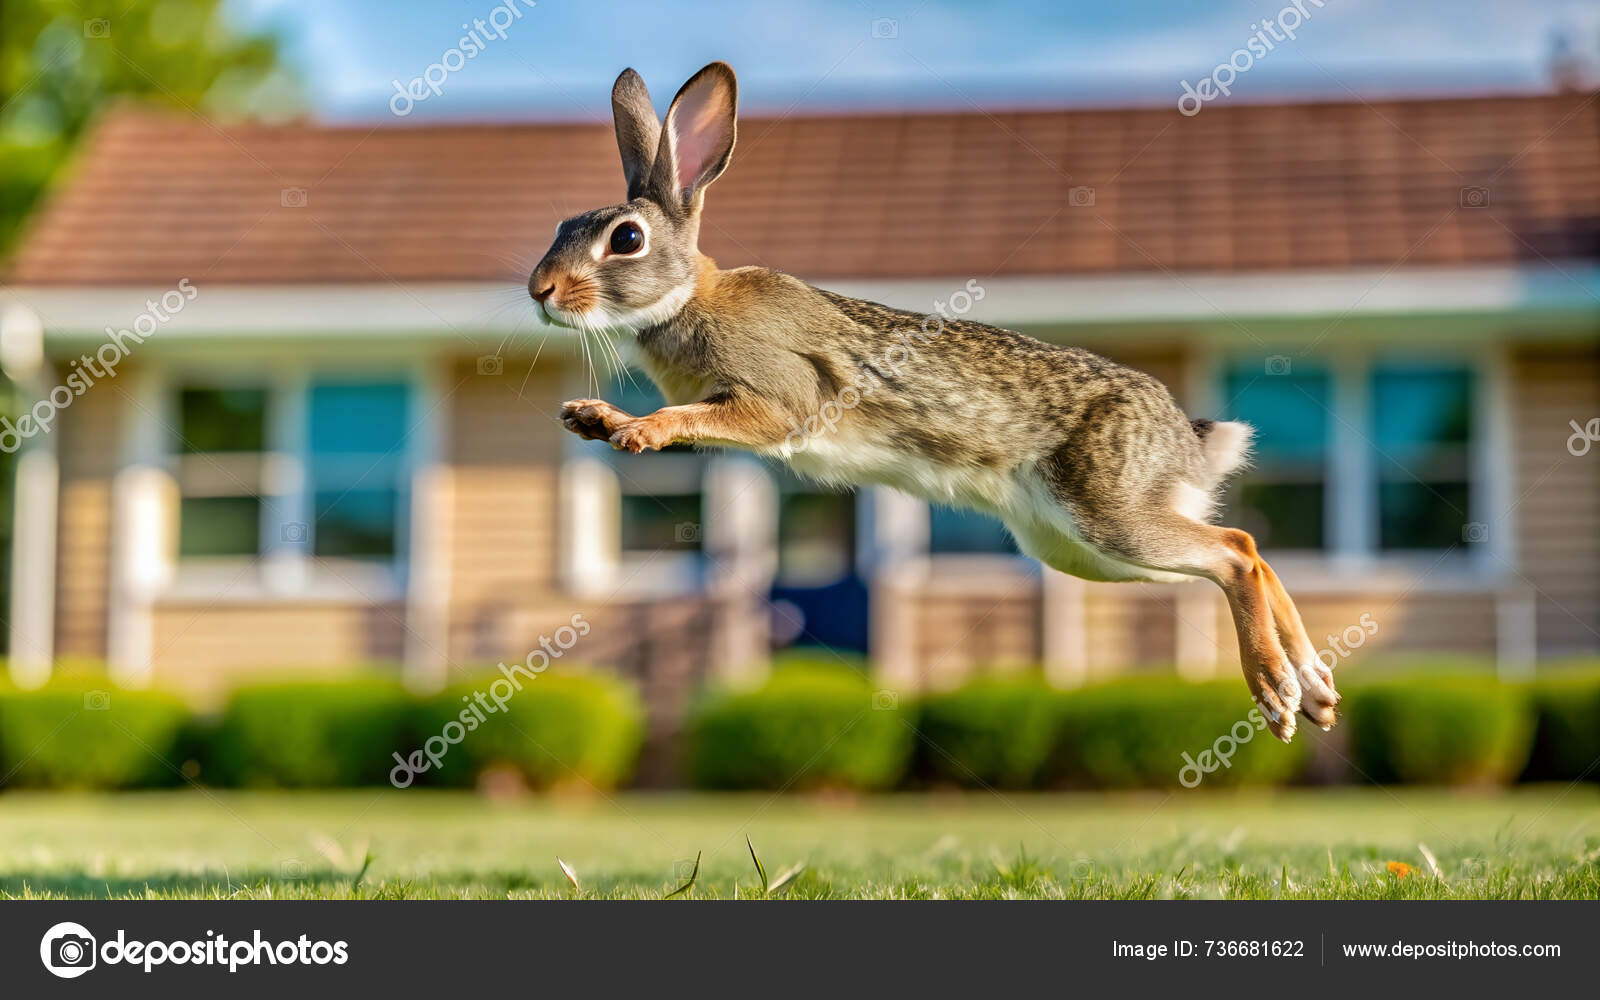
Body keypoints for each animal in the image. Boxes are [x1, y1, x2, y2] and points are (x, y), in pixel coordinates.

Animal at [528, 62, 1338, 741]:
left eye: (625, 239)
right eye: (563, 226)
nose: (540, 291)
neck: (690, 298)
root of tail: (1187, 439)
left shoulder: (779, 401)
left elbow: (700, 416)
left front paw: (633, 430)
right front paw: (592, 419)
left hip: (1107, 515)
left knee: (1235, 553)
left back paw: (1277, 692)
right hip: (1084, 553)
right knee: (1247, 551)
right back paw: (1315, 687)